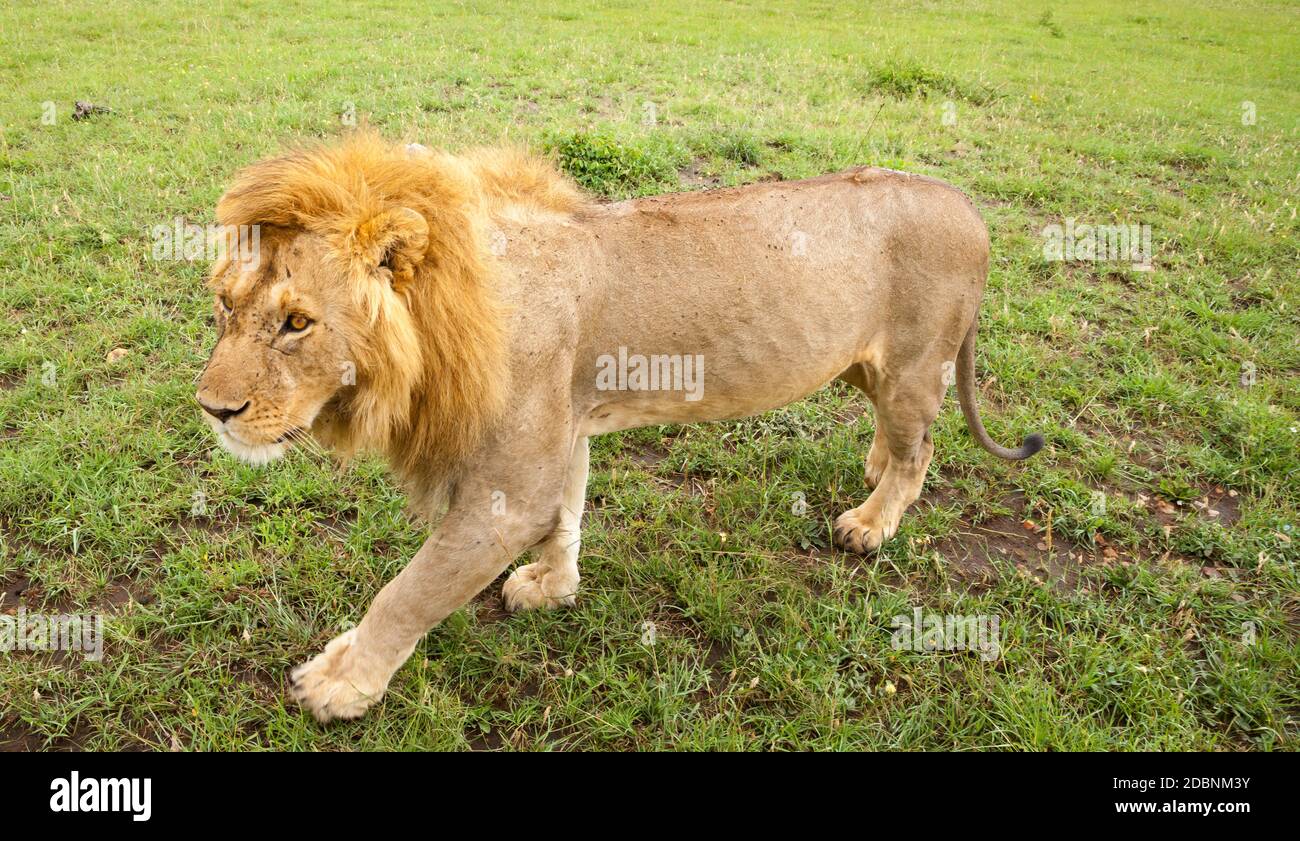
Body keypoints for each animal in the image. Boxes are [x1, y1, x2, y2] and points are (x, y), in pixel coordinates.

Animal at [196, 133, 1042, 722]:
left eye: (297, 322)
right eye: (226, 306)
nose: (212, 408)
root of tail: (965, 200)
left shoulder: (506, 495)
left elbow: (406, 594)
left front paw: (339, 682)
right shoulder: (566, 427)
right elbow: (569, 514)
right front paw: (552, 585)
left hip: (910, 367)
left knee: (921, 447)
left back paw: (871, 521)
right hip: (866, 366)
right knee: (898, 435)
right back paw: (871, 467)